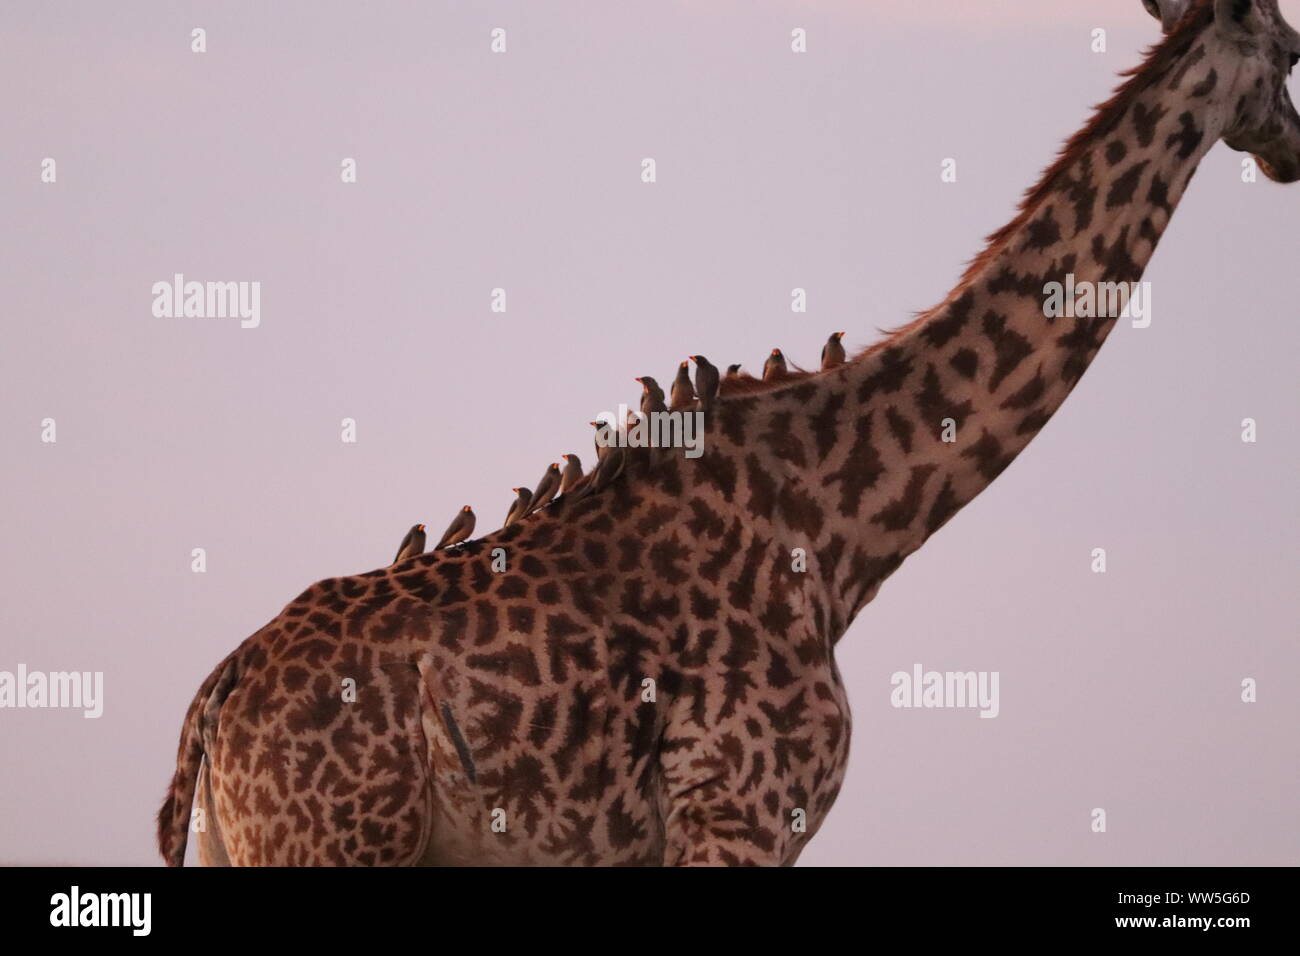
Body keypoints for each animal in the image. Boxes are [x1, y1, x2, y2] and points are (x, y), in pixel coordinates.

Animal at [158, 0, 1300, 866]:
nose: (1291, 146)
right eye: (1291, 50)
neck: (844, 526)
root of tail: (212, 707)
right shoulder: (741, 814)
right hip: (332, 843)